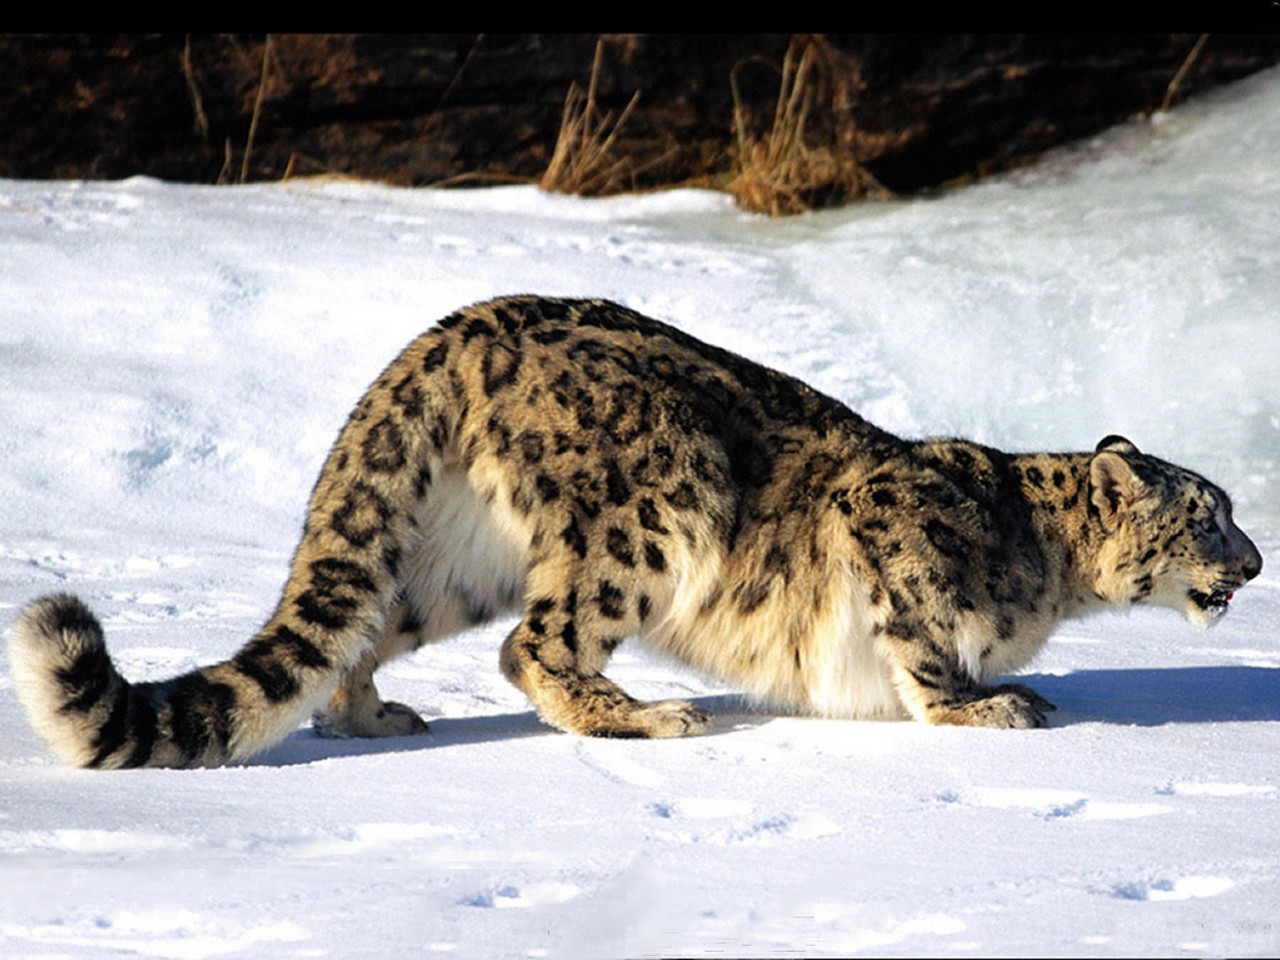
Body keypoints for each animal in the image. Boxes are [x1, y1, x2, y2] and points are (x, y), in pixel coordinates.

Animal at [7, 296, 1263, 768]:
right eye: (1208, 510)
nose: (1255, 563)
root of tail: (451, 330)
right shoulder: (887, 527)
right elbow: (918, 643)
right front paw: (986, 705)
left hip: (450, 559)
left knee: (366, 626)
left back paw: (372, 717)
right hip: (660, 501)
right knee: (534, 646)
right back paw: (650, 716)